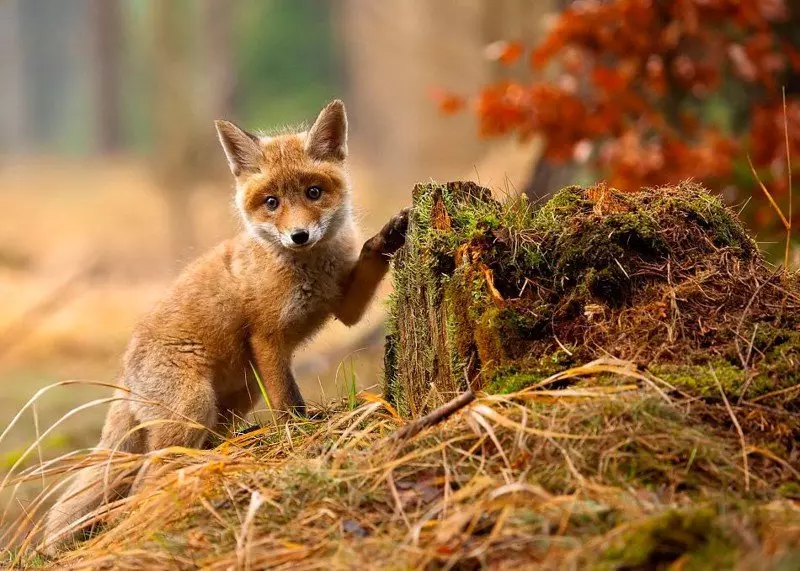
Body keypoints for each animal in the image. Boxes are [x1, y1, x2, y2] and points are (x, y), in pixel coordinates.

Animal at [41, 99, 410, 556]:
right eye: (271, 202)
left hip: (232, 404)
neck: (308, 270)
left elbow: (367, 261)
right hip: (192, 407)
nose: (299, 235)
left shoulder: (345, 309)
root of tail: (125, 377)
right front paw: (300, 433)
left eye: (313, 192)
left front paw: (388, 237)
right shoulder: (266, 338)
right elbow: (288, 402)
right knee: (143, 482)